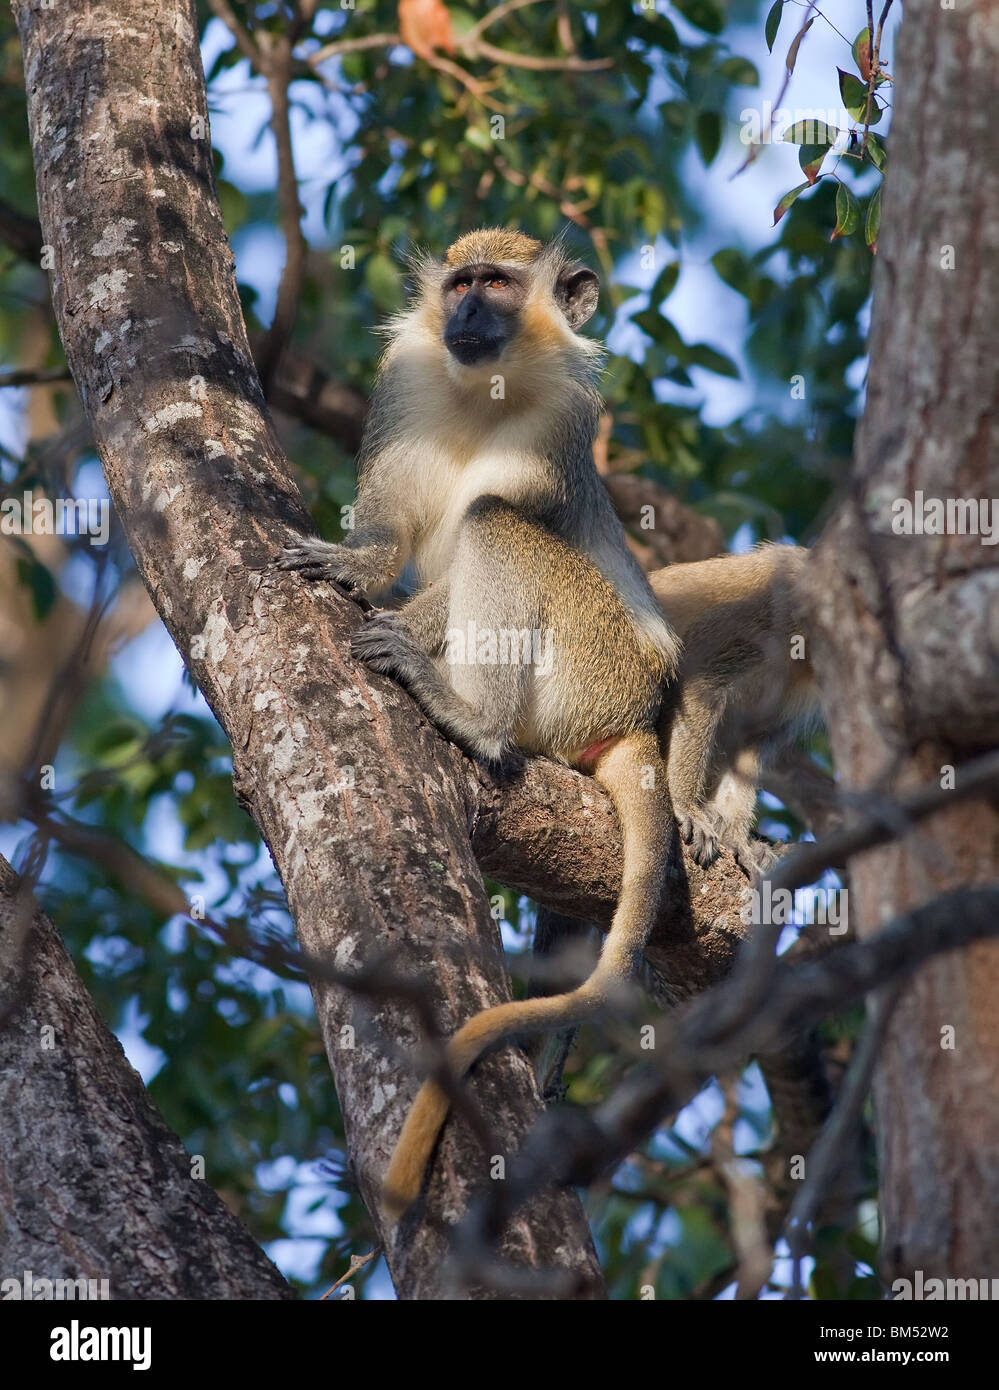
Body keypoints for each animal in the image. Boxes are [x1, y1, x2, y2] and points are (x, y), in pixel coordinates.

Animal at [277, 228, 680, 1219]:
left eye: (496, 286)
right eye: (460, 282)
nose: (464, 311)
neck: (477, 389)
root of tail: (637, 713)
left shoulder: (563, 421)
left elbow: (482, 537)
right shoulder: (404, 381)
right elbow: (389, 529)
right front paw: (354, 564)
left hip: (589, 664)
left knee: (496, 523)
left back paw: (469, 717)